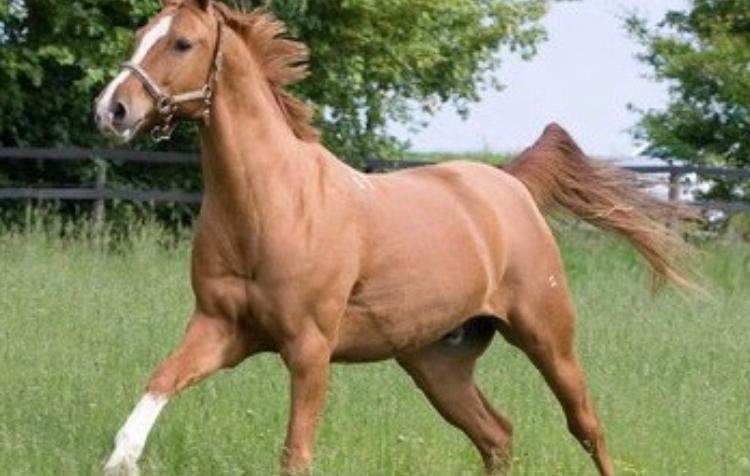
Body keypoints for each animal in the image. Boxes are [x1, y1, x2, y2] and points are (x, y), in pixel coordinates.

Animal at [94, 1, 695, 474]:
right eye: (139, 35)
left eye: (182, 42)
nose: (111, 109)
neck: (272, 205)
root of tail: (510, 183)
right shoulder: (219, 328)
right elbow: (159, 384)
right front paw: (122, 460)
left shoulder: (309, 348)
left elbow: (295, 454)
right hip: (437, 362)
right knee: (497, 435)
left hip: (547, 336)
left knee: (587, 427)